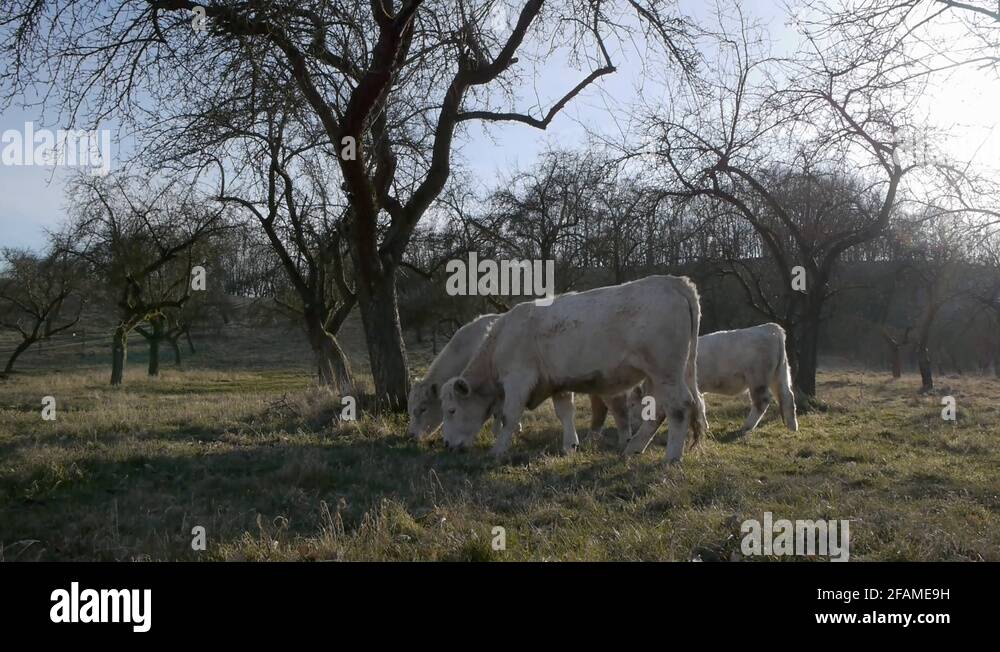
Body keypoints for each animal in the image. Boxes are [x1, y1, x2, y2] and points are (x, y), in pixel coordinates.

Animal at [440, 275, 708, 463]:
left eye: (452, 410)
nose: (446, 444)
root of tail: (673, 281)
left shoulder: (518, 379)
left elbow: (509, 416)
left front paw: (496, 451)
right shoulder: (556, 383)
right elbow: (565, 413)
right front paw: (570, 446)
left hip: (666, 371)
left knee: (679, 407)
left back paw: (671, 457)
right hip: (666, 374)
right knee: (661, 409)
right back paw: (633, 448)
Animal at [590, 322, 798, 438]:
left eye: (633, 404)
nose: (633, 424)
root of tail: (771, 328)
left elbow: (696, 405)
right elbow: (701, 404)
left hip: (758, 378)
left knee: (762, 401)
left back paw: (747, 426)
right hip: (780, 374)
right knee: (787, 396)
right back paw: (791, 426)